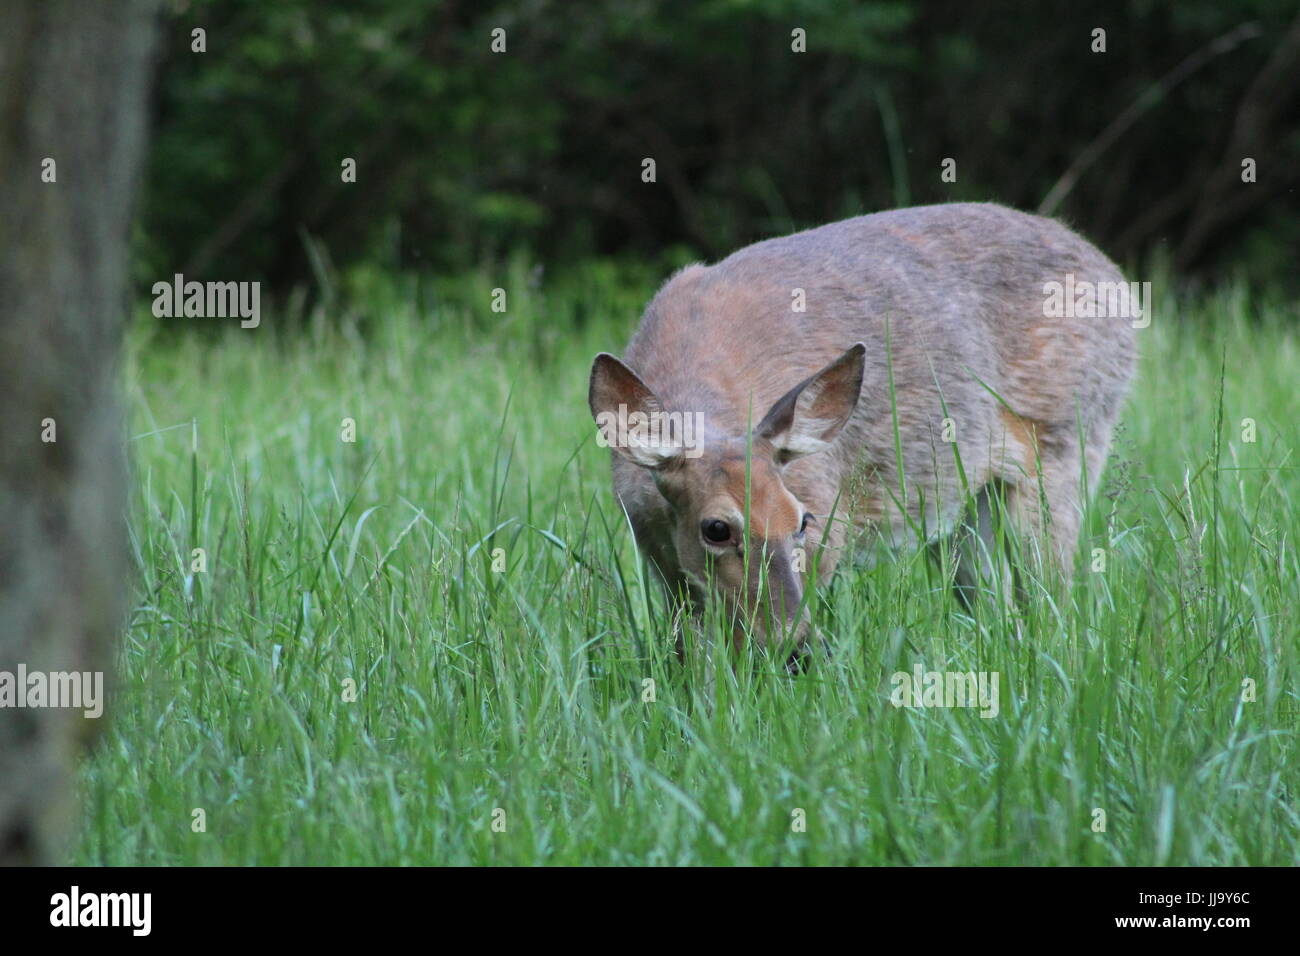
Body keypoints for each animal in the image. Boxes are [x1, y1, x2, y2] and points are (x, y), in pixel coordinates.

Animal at [588, 202, 1137, 665]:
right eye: (717, 528)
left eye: (803, 520)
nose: (796, 647)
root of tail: (1120, 286)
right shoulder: (660, 558)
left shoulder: (827, 516)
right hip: (971, 503)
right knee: (994, 601)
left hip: (1069, 445)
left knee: (1052, 599)